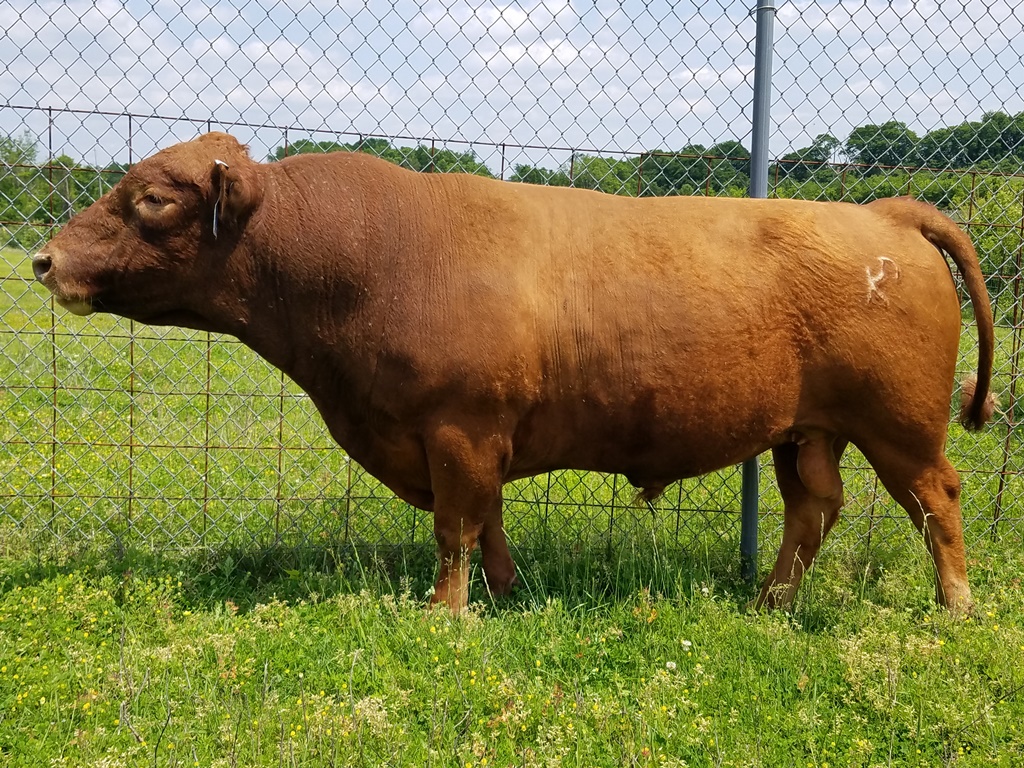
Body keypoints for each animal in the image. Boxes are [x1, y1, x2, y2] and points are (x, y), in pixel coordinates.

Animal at [32, 132, 994, 614]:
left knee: (935, 499)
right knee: (814, 507)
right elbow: (485, 520)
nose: (44, 259)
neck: (374, 257)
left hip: (899, 424)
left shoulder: (457, 429)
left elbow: (454, 525)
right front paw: (505, 592)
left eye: (154, 198)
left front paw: (446, 610)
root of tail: (882, 213)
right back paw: (773, 602)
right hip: (806, 432)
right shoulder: (472, 438)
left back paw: (953, 603)